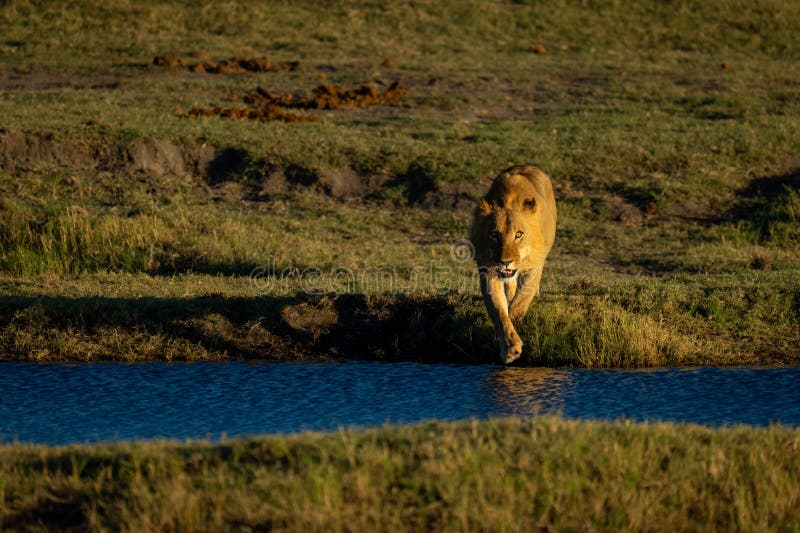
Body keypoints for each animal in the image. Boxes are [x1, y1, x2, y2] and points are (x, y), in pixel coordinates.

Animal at [469, 165, 557, 364]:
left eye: (519, 234)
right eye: (494, 234)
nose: (505, 261)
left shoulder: (533, 267)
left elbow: (519, 303)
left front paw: (516, 322)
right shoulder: (488, 271)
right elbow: (499, 312)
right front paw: (510, 348)